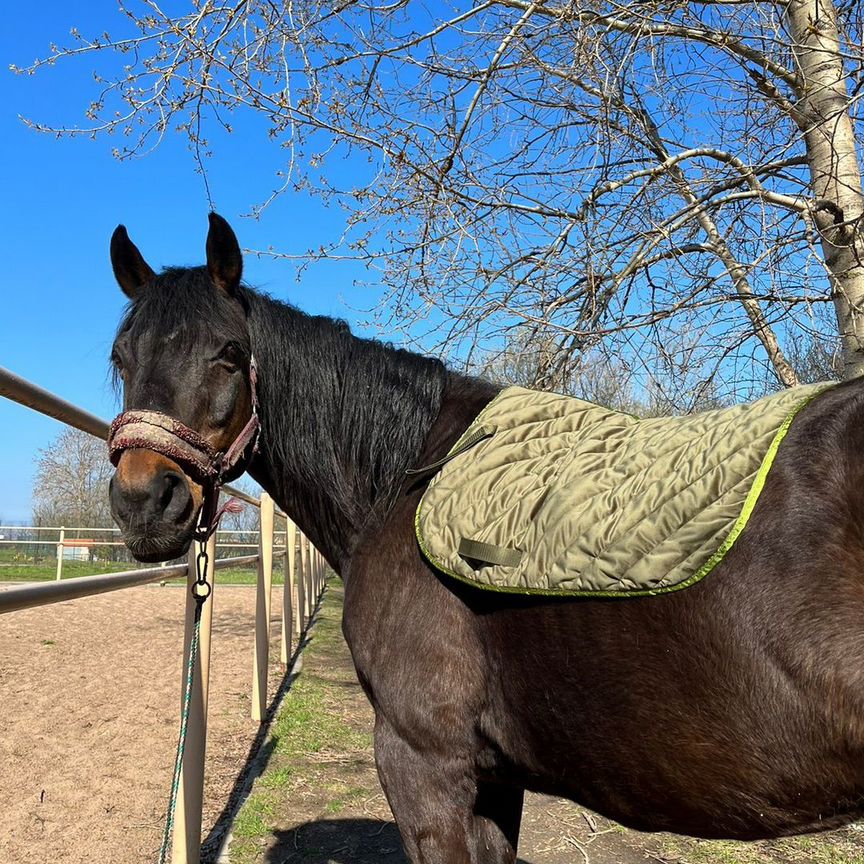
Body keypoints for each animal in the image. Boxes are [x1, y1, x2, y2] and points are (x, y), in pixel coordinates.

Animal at [106, 213, 864, 860]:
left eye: (230, 353)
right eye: (121, 357)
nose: (145, 501)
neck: (405, 478)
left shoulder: (425, 766)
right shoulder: (495, 778)